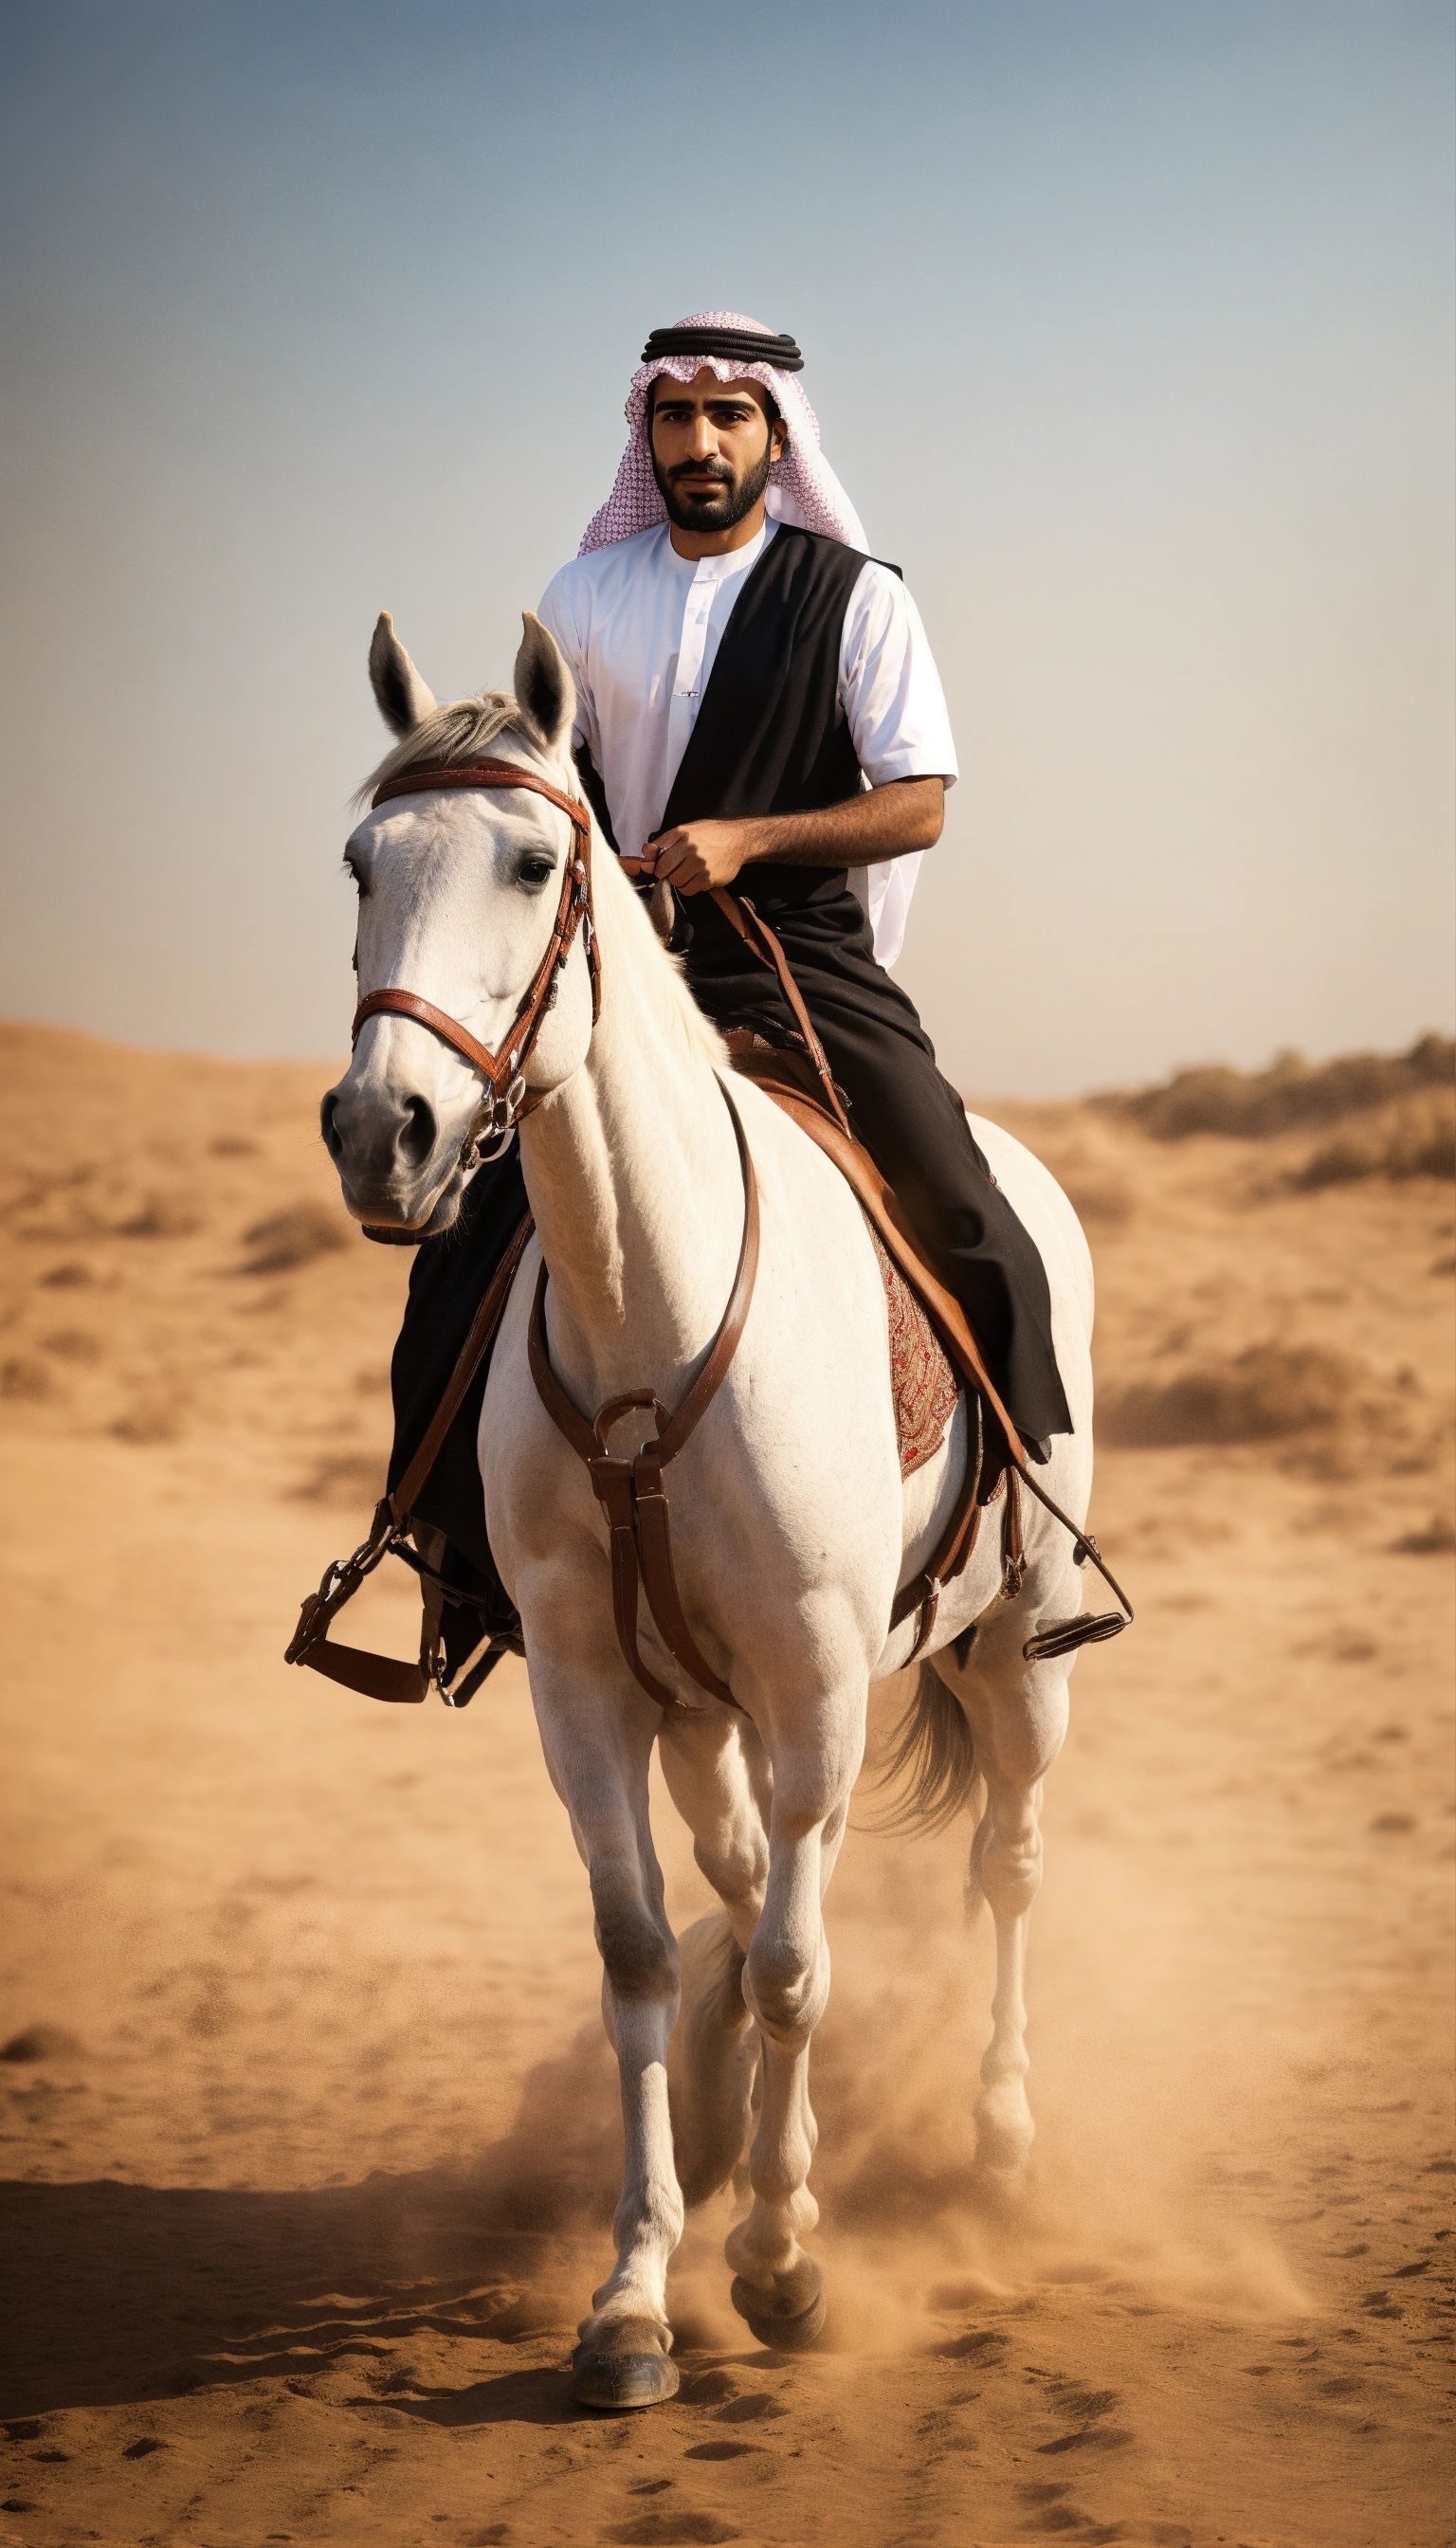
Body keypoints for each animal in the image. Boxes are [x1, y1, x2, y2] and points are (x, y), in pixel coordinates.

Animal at [318, 609, 1098, 2409]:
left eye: (537, 861)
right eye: (361, 863)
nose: (384, 1132)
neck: (646, 1313)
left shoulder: (814, 1683)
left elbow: (804, 1960)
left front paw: (784, 2259)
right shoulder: (593, 1693)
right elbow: (646, 1956)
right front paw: (636, 2288)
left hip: (1017, 1650)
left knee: (1006, 1865)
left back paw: (1002, 2138)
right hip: (699, 1704)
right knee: (743, 1878)